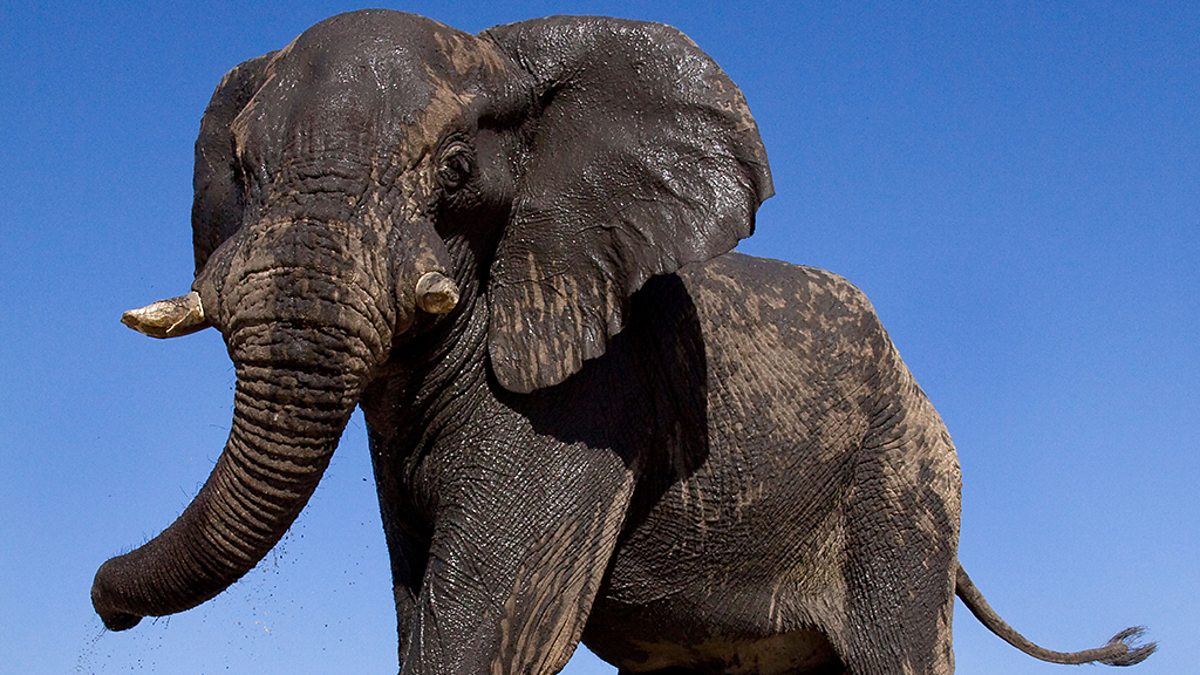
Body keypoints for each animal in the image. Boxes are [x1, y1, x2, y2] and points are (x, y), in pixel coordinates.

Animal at [92, 10, 1155, 674]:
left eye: (455, 169)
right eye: (240, 170)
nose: (105, 600)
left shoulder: (591, 397)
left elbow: (486, 631)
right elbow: (417, 614)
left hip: (907, 491)